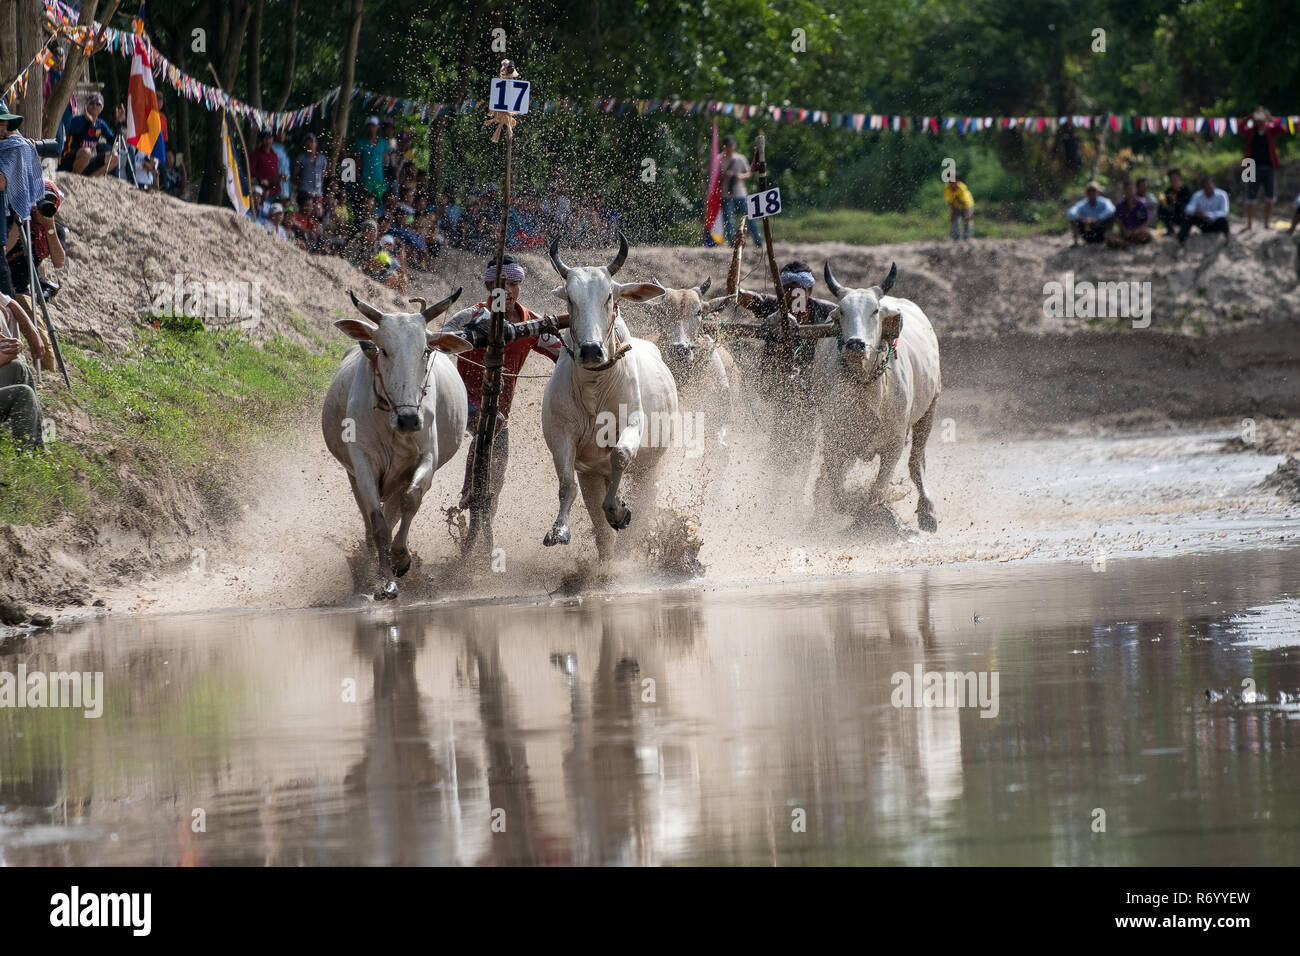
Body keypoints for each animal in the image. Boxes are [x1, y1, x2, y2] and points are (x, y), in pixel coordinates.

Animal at [322, 289, 471, 599]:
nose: (409, 419)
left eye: (425, 351)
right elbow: (377, 522)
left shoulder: (426, 458)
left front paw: (401, 558)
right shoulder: (362, 464)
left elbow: (410, 500)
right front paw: (383, 579)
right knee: (371, 518)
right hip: (353, 474)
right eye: (384, 350)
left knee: (395, 507)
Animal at [542, 232, 679, 559]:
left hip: (649, 468)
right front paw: (560, 529)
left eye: (608, 297)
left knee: (642, 503)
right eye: (570, 298)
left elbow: (620, 454)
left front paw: (618, 511)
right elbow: (566, 484)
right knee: (601, 529)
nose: (591, 350)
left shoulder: (632, 425)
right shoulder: (562, 436)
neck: (594, 385)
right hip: (593, 475)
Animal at [815, 261, 942, 534]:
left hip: (931, 407)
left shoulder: (893, 445)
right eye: (842, 311)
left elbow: (877, 490)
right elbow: (838, 491)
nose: (855, 344)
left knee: (916, 463)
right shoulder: (835, 440)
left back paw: (927, 512)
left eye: (874, 310)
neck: (866, 386)